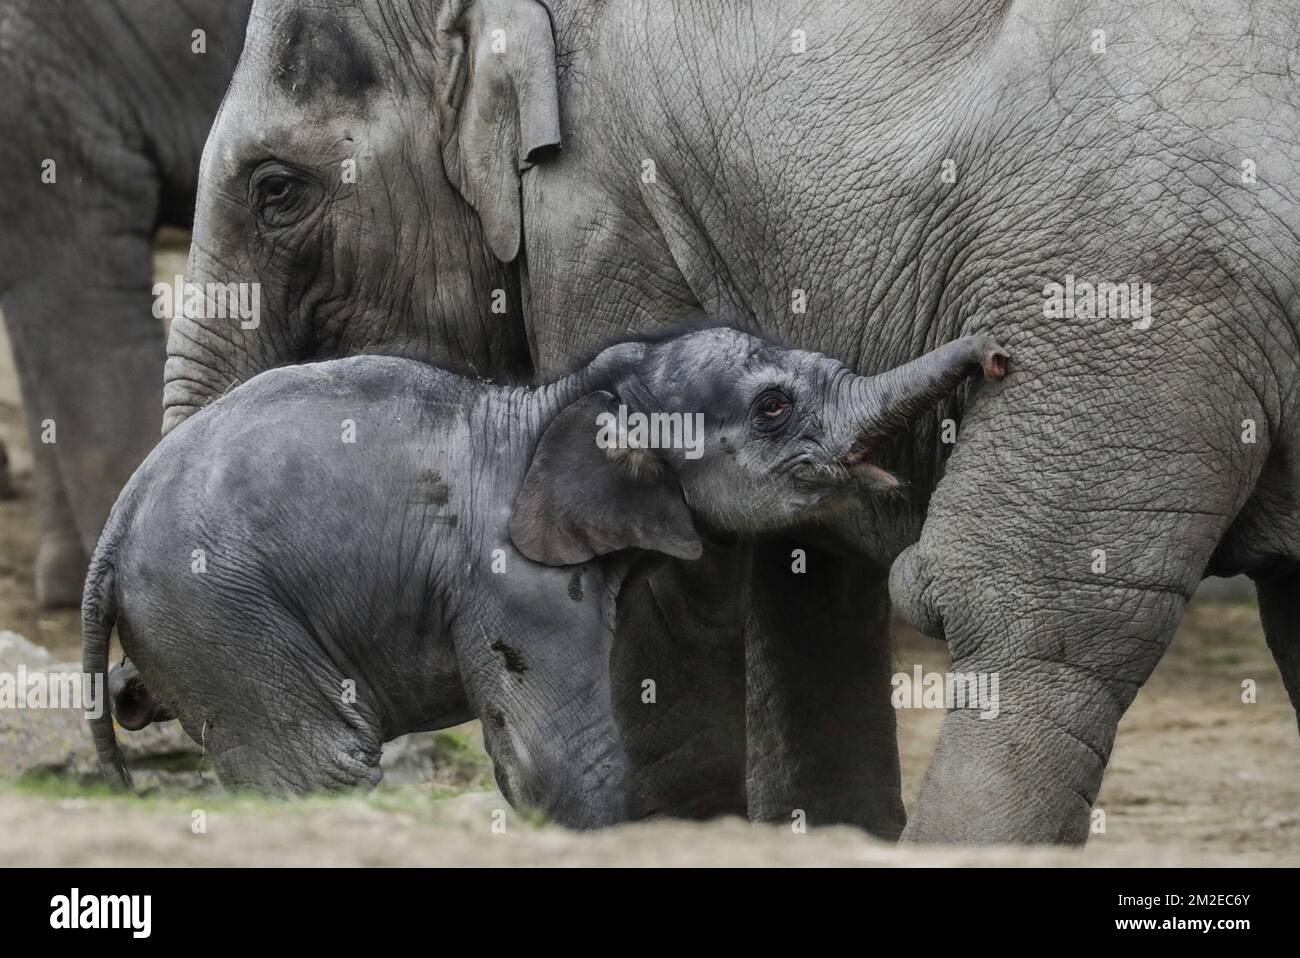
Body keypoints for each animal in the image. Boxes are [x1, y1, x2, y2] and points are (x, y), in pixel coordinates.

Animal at [85, 326, 1008, 824]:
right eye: (773, 408)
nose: (997, 354)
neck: (560, 397)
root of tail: (115, 526)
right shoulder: (513, 581)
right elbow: (557, 759)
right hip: (216, 612)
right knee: (324, 766)